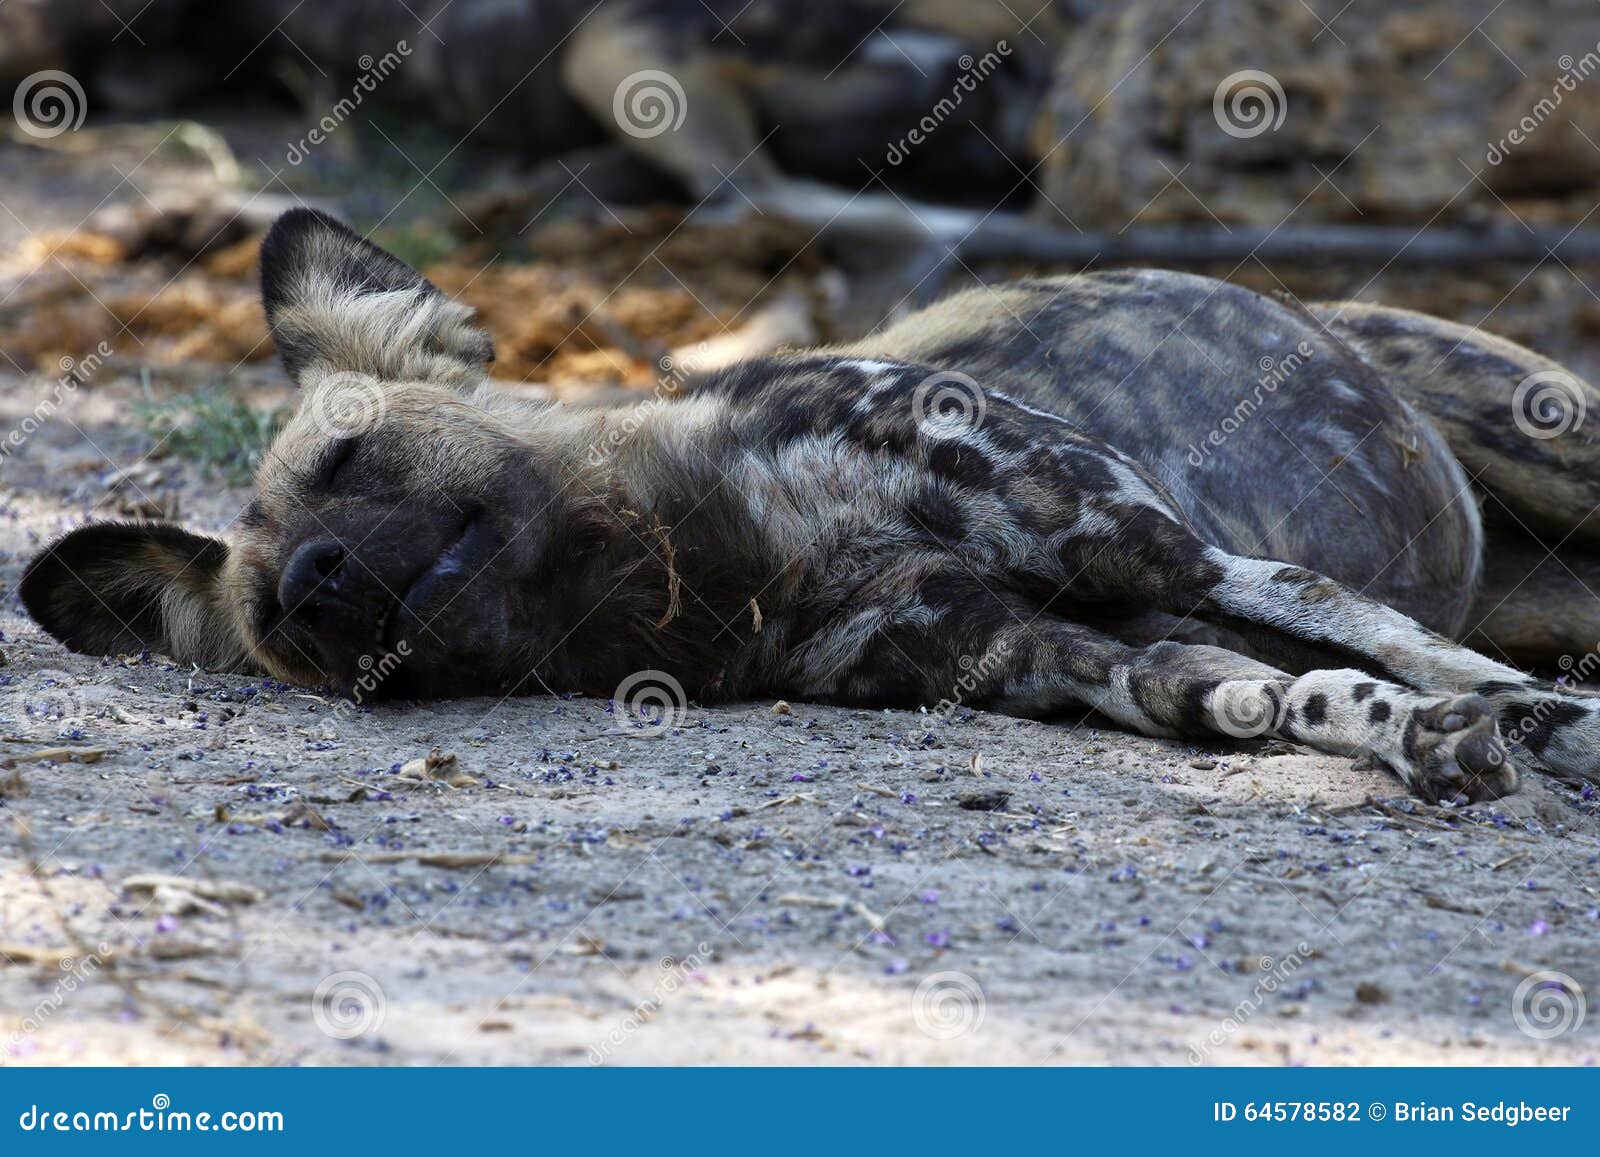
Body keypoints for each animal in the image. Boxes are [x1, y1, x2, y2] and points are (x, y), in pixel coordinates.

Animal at [21, 209, 1600, 803]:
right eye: (269, 619)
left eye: (349, 466)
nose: (318, 580)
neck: (710, 553)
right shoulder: (1069, 654)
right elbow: (1296, 693)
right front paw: (1430, 737)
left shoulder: (1149, 545)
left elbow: (1397, 647)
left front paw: (1534, 726)